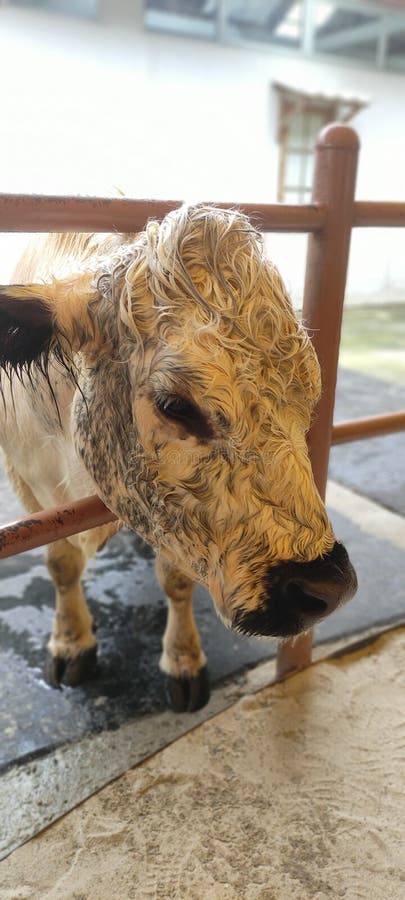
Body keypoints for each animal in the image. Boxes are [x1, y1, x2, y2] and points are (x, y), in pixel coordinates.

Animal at [0, 205, 357, 711]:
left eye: (310, 394)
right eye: (176, 406)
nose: (327, 586)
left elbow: (177, 579)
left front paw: (183, 659)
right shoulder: (26, 483)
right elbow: (61, 565)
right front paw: (71, 643)